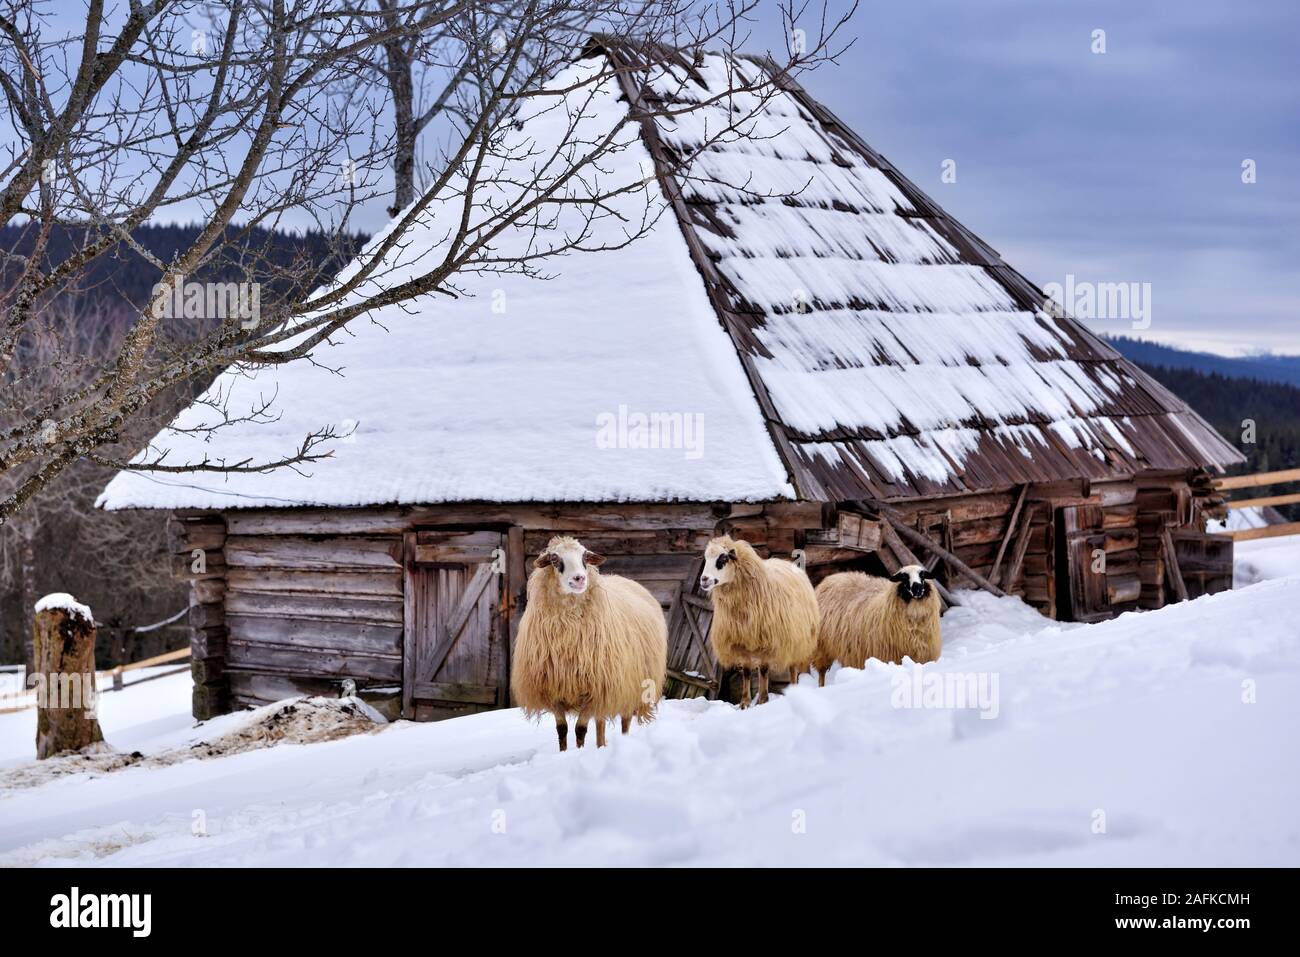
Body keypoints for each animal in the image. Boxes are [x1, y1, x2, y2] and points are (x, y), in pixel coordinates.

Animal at [510, 536, 668, 751]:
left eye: (585, 556)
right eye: (554, 558)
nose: (579, 578)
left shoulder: (597, 689)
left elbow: (580, 729)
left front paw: (579, 752)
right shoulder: (552, 690)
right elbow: (562, 729)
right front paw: (564, 753)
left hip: (632, 686)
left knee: (625, 720)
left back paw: (624, 741)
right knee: (600, 723)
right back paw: (601, 746)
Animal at [698, 535, 819, 707]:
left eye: (724, 558)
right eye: (706, 558)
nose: (704, 580)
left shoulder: (767, 641)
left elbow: (763, 670)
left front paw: (762, 700)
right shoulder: (742, 642)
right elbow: (747, 672)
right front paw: (745, 703)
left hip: (796, 639)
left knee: (792, 667)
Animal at [812, 564, 941, 683]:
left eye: (922, 576)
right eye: (904, 577)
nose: (918, 589)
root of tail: (832, 577)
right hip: (822, 647)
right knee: (821, 672)